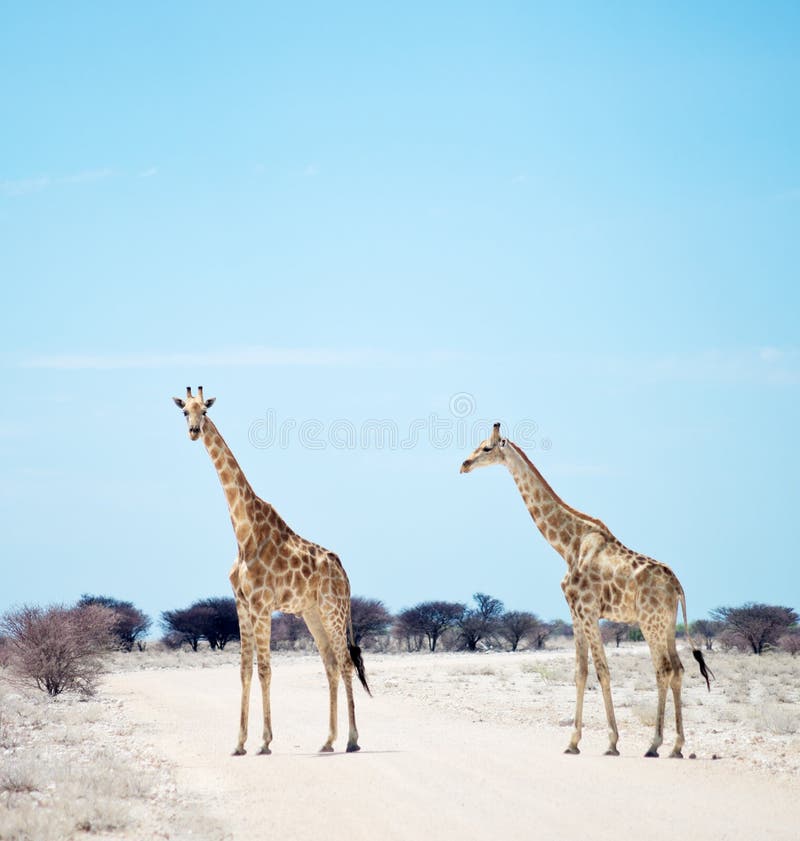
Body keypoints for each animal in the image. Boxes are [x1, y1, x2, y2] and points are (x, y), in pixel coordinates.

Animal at [173, 387, 370, 755]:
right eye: (184, 412)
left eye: (204, 411)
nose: (193, 431)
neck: (244, 532)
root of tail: (344, 572)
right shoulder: (242, 604)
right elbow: (244, 670)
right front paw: (238, 743)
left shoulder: (262, 606)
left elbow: (264, 668)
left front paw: (264, 741)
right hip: (312, 613)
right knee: (330, 664)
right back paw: (327, 740)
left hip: (333, 609)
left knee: (345, 662)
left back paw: (352, 740)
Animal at [460, 423, 712, 758]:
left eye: (486, 448)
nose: (464, 464)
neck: (568, 544)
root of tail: (678, 585)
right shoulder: (576, 613)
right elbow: (580, 672)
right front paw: (573, 742)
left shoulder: (588, 611)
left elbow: (602, 670)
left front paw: (612, 742)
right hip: (668, 624)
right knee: (679, 668)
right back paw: (676, 746)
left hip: (650, 622)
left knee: (663, 669)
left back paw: (654, 744)